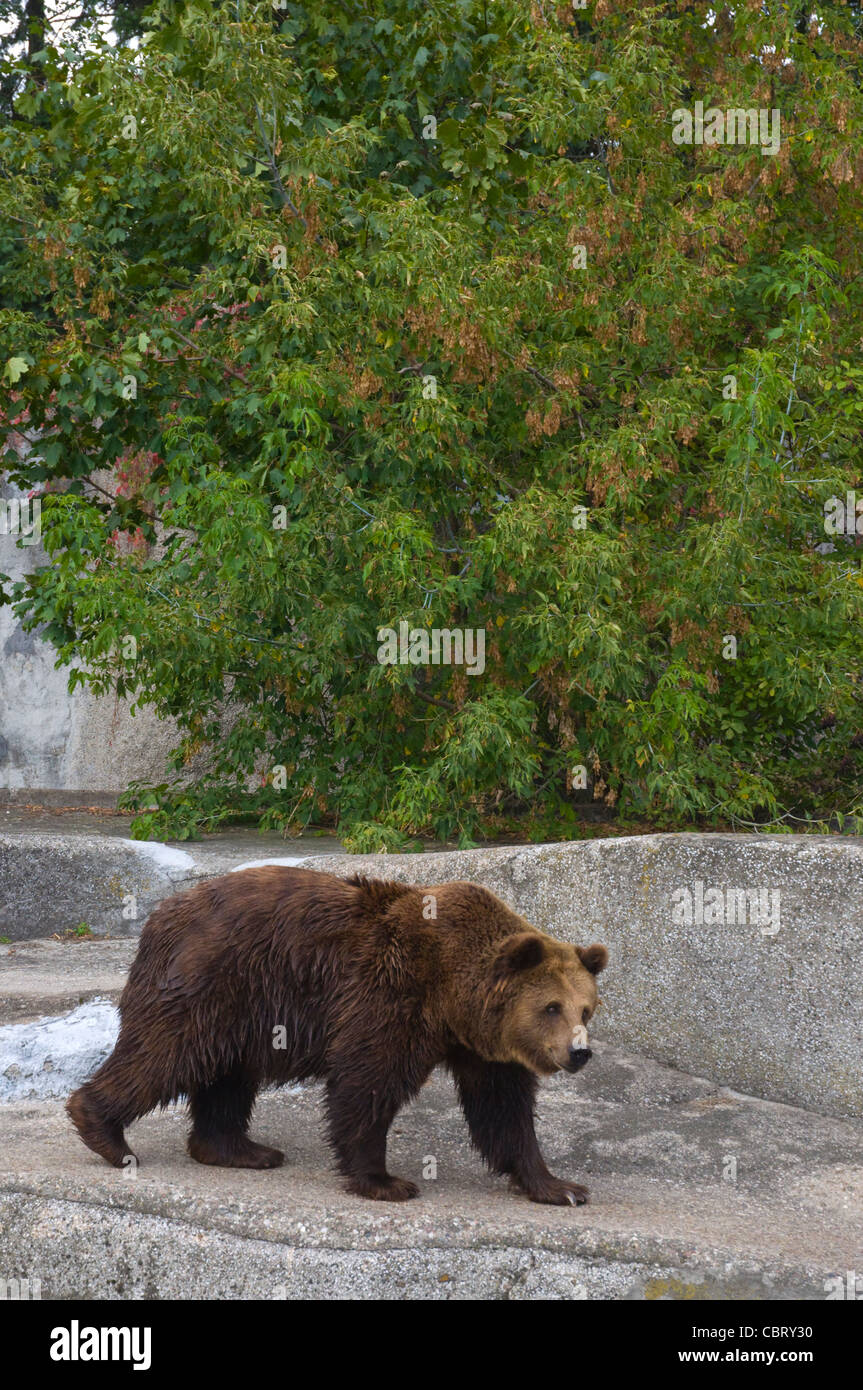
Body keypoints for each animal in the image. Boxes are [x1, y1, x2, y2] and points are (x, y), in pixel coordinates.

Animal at [67, 867, 608, 1205]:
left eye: (586, 1007)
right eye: (551, 1007)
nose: (579, 1053)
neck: (453, 993)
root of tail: (160, 915)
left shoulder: (482, 1046)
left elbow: (504, 1109)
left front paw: (559, 1186)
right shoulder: (390, 993)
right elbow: (366, 1080)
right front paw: (385, 1180)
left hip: (241, 1010)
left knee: (228, 1074)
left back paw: (241, 1150)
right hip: (213, 981)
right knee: (164, 1054)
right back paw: (104, 1132)